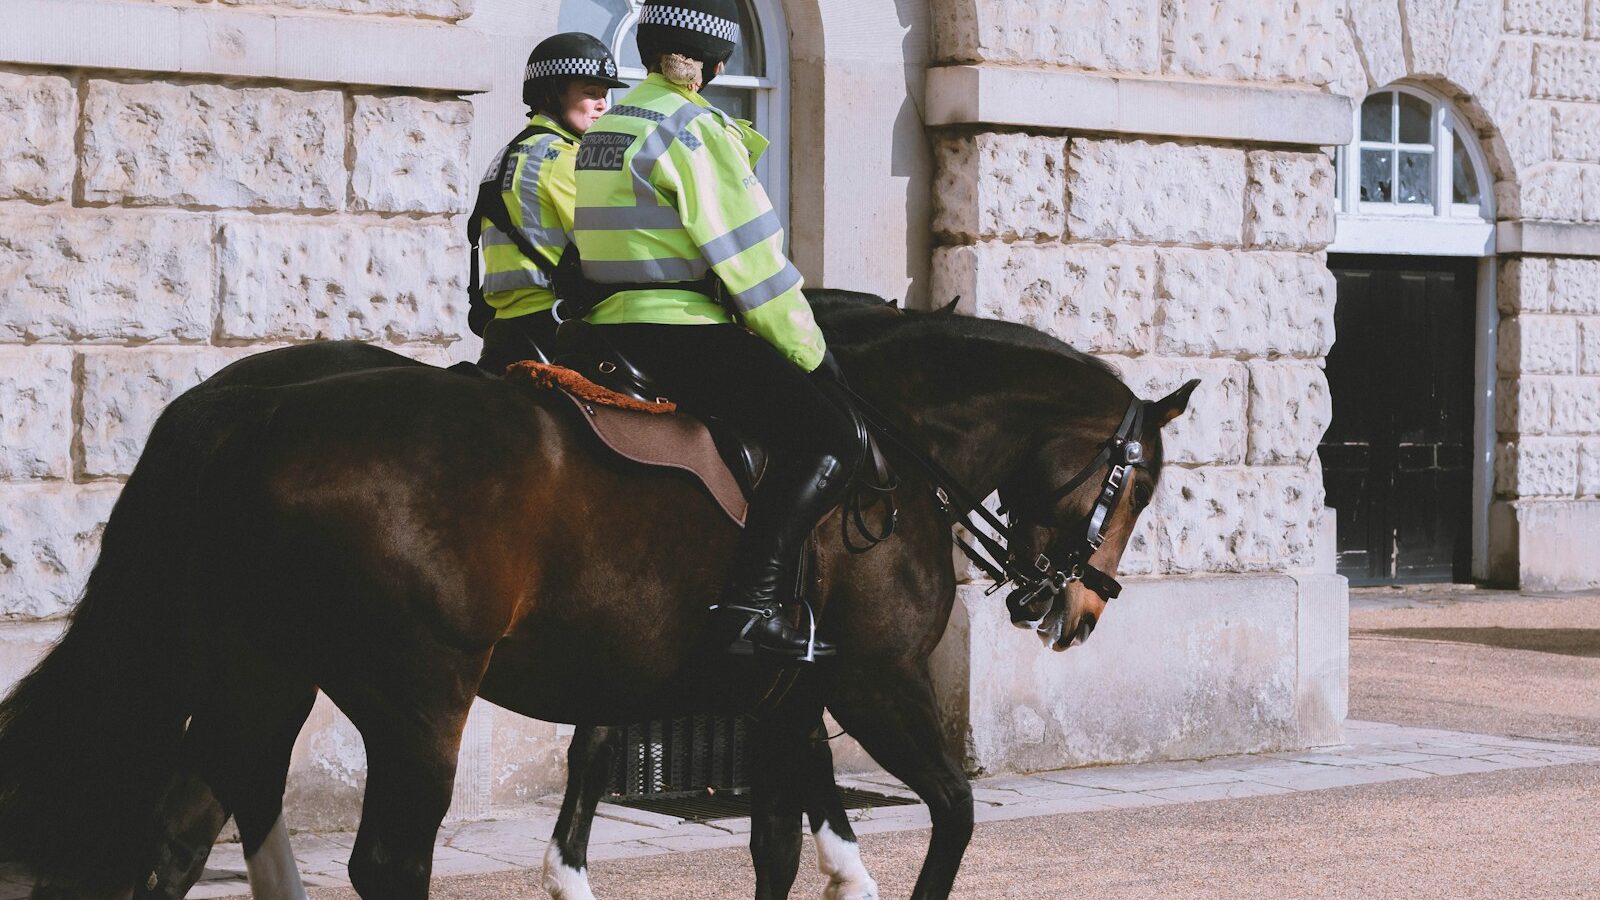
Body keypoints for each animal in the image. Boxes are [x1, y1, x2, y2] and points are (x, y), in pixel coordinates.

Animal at [0, 291, 1195, 900]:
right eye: (1135, 480)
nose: (1076, 609)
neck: (890, 453)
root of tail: (248, 407)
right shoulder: (873, 683)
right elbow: (951, 815)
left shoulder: (777, 698)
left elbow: (774, 840)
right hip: (415, 701)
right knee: (385, 862)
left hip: (261, 676)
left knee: (174, 838)